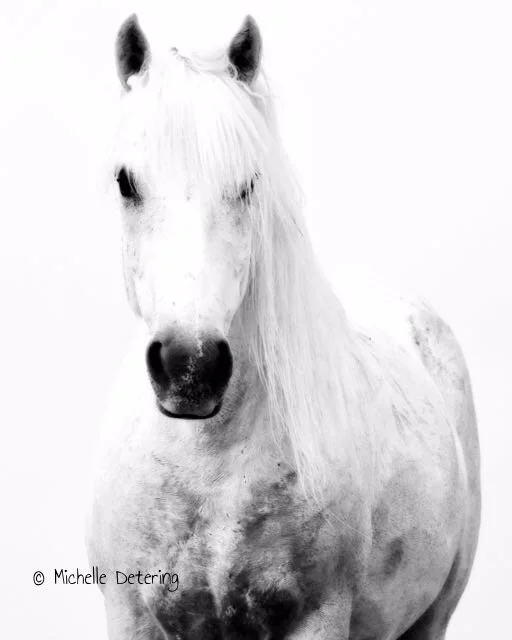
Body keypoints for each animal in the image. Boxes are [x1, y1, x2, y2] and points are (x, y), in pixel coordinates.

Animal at [86, 13, 481, 640]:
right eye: (126, 182)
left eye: (249, 184)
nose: (190, 367)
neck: (211, 461)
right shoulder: (130, 616)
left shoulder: (318, 617)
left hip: (434, 616)